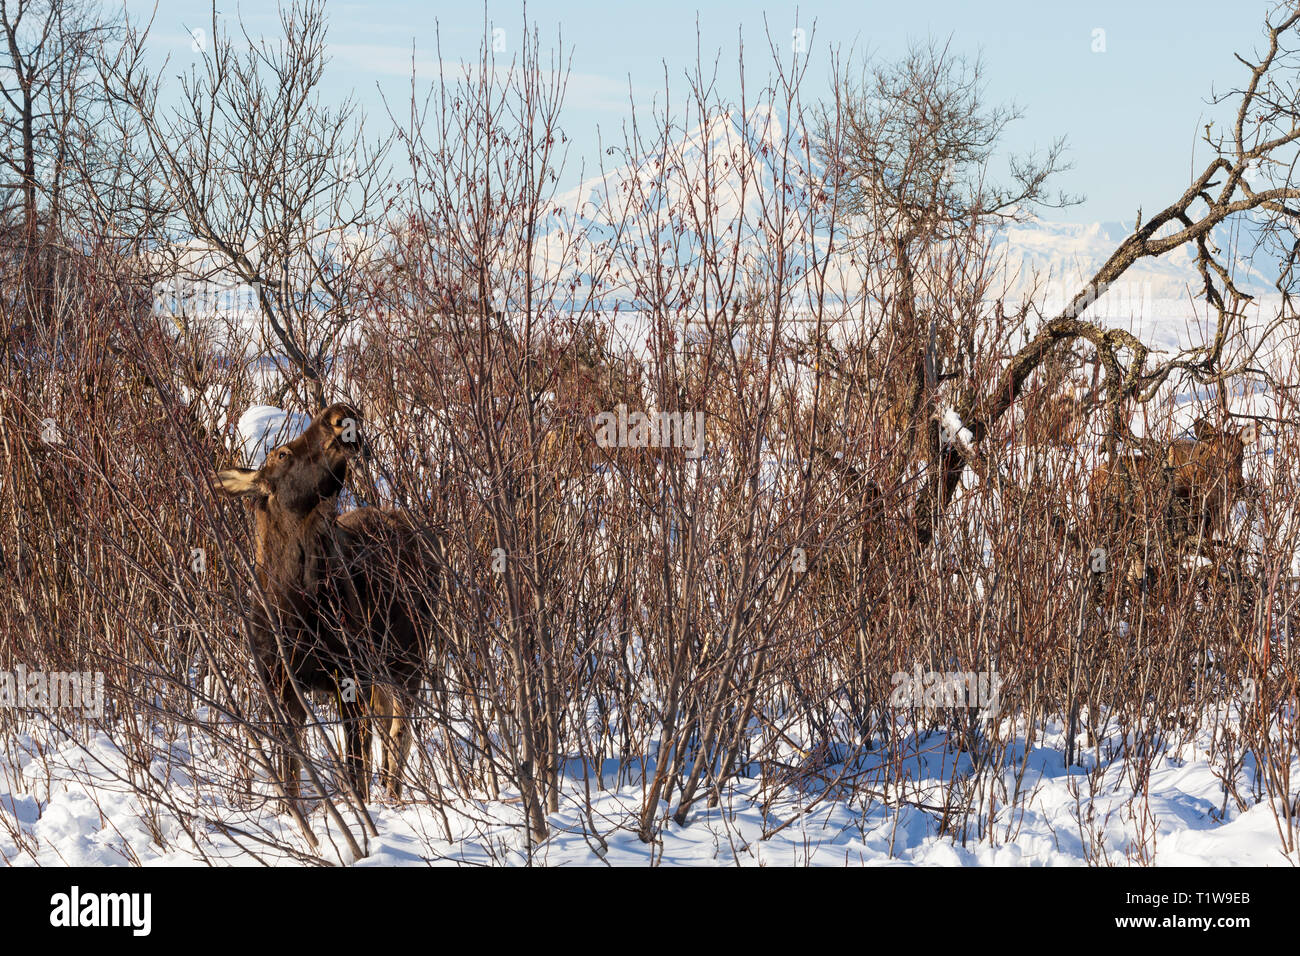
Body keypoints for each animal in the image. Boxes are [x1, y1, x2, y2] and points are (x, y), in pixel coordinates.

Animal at [216, 403, 437, 807]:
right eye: (282, 453)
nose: (340, 413)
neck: (294, 603)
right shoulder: (281, 685)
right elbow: (291, 771)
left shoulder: (351, 677)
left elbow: (356, 766)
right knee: (388, 731)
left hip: (408, 660)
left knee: (398, 734)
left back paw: (394, 797)